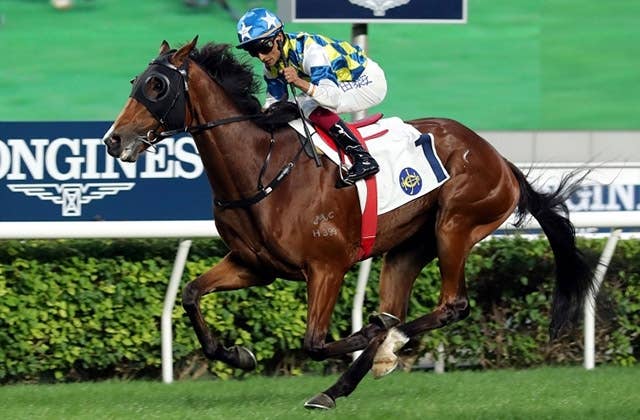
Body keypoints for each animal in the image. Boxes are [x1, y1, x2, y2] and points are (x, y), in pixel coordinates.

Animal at [103, 37, 593, 409]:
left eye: (157, 85)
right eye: (134, 82)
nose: (113, 140)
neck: (262, 168)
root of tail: (500, 159)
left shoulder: (328, 266)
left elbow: (315, 341)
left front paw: (371, 338)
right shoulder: (253, 265)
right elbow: (189, 294)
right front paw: (237, 354)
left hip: (455, 224)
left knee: (451, 305)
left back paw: (386, 346)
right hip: (408, 247)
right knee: (397, 308)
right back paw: (348, 377)